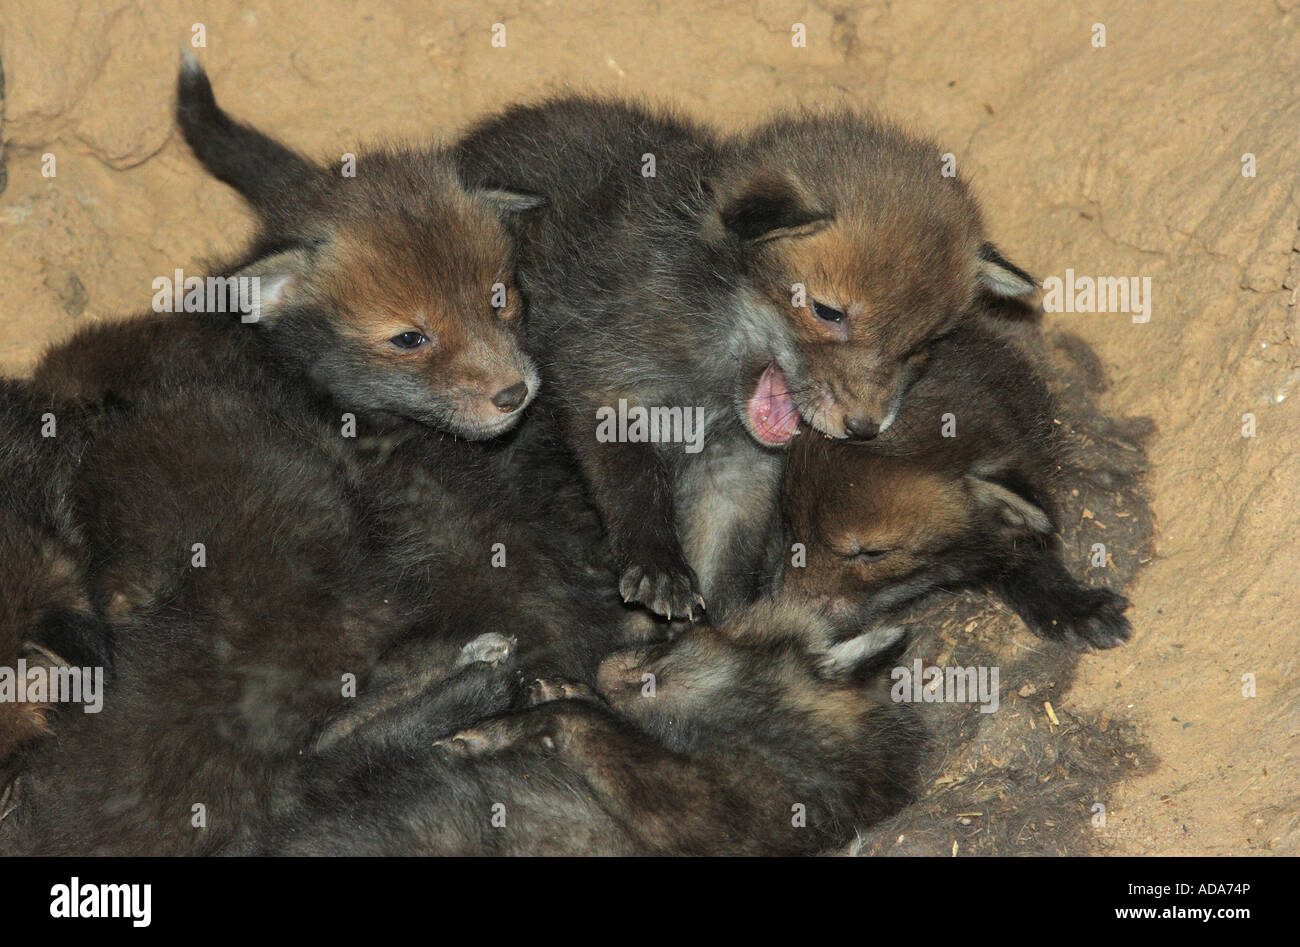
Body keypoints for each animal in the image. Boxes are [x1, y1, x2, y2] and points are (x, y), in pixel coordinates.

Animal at [170, 86, 1037, 623]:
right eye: (827, 311)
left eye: (924, 346)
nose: (864, 427)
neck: (710, 350)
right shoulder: (604, 386)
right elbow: (630, 489)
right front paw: (654, 568)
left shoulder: (739, 466)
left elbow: (724, 561)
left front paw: (723, 627)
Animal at [247, 601, 922, 856]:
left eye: (681, 638)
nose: (613, 650)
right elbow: (584, 710)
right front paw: (545, 696)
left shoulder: (703, 818)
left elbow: (585, 718)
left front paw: (497, 731)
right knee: (323, 748)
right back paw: (482, 666)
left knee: (322, 754)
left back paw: (485, 683)